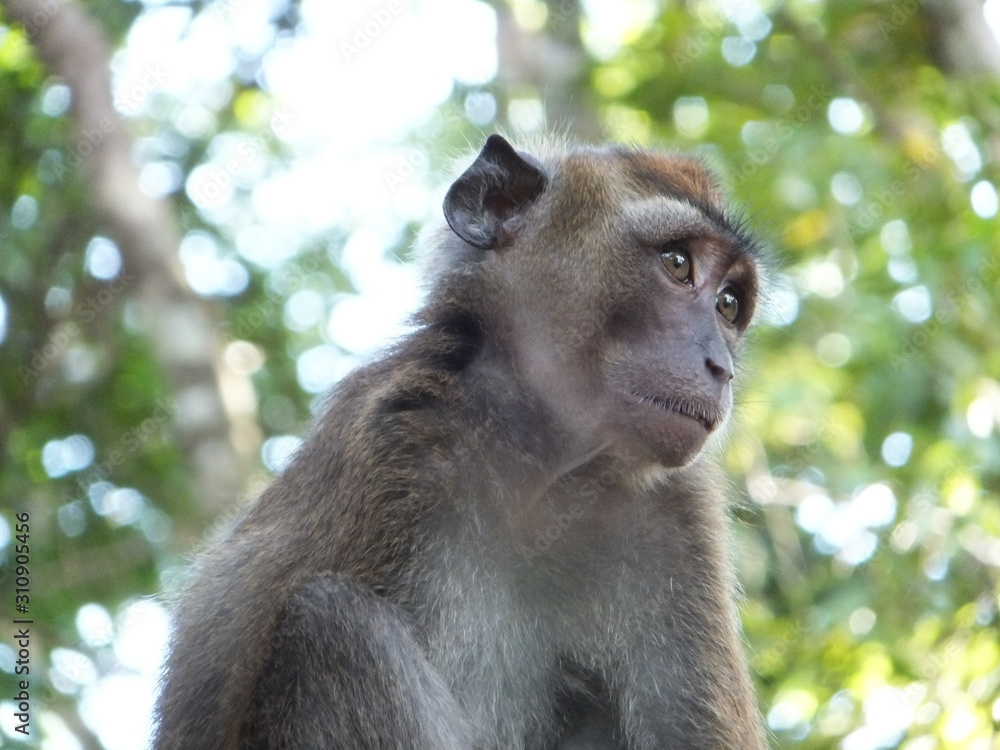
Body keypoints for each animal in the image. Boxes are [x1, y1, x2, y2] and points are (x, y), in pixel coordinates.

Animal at [153, 134, 770, 750]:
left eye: (729, 304)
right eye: (678, 264)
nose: (720, 368)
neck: (547, 471)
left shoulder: (678, 514)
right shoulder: (391, 450)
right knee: (334, 626)